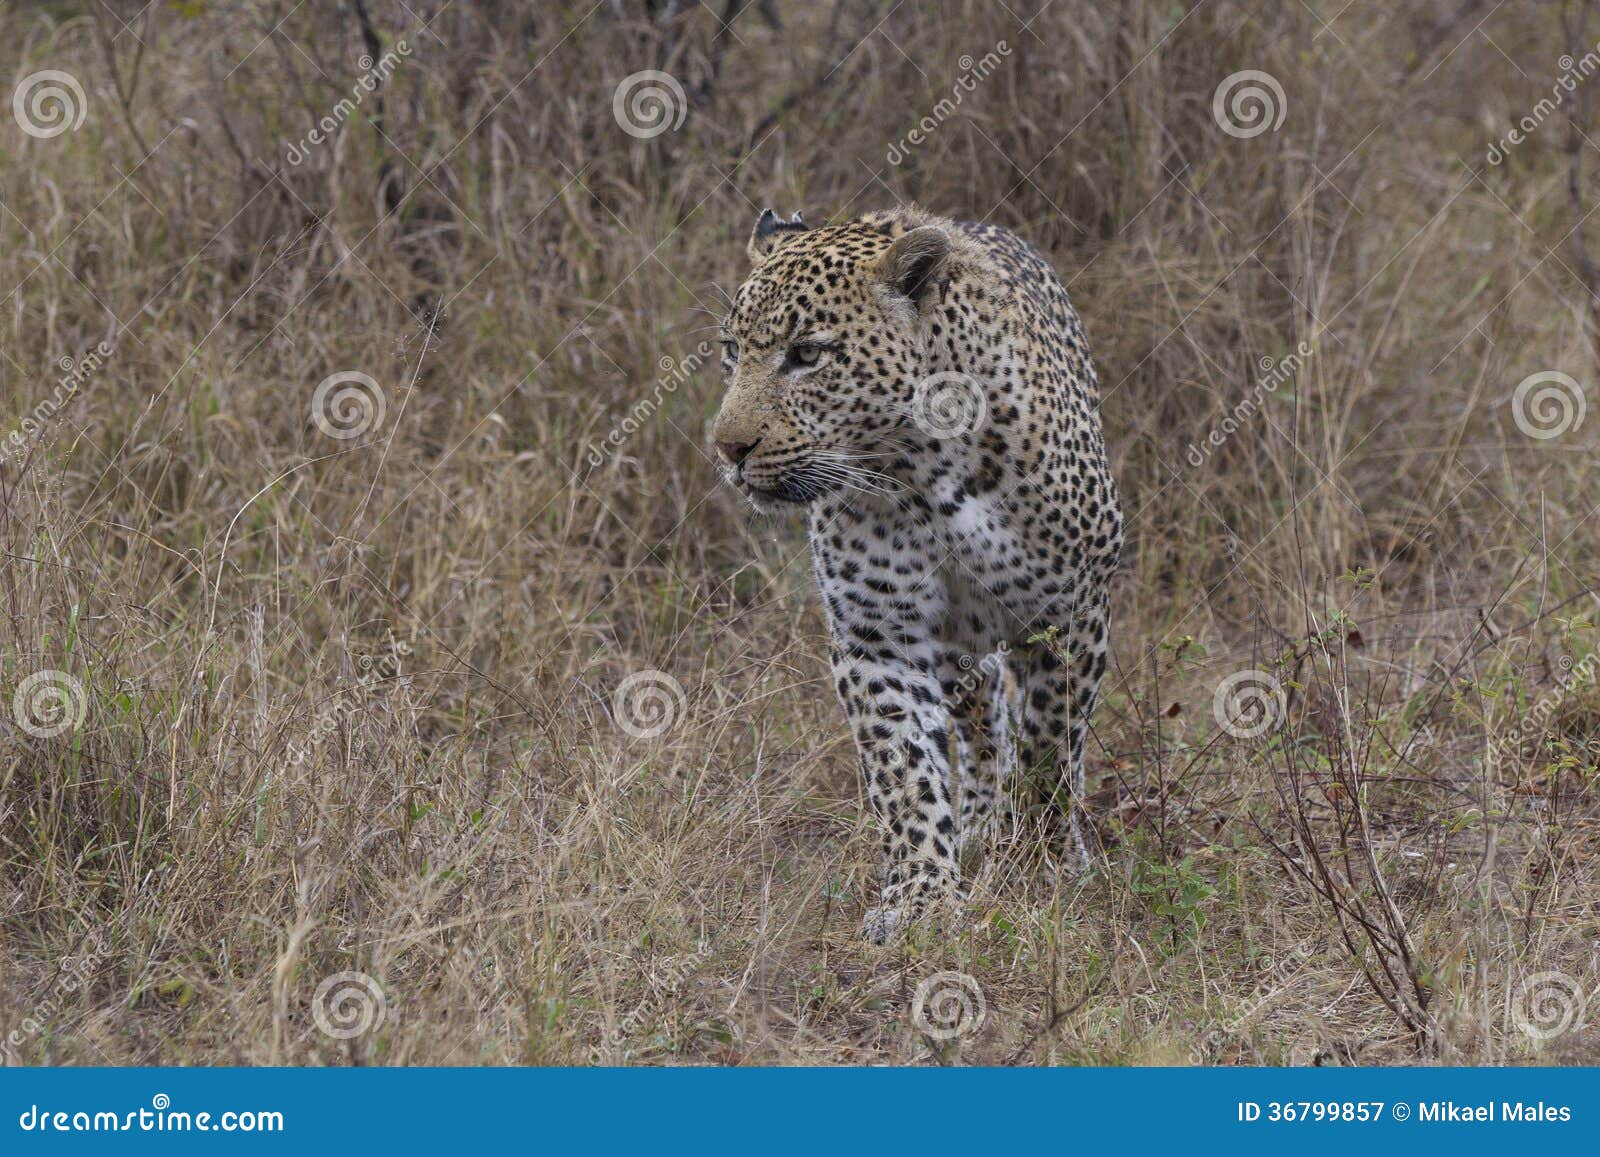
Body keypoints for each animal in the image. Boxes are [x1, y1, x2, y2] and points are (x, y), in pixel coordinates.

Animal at [711, 204, 1123, 942]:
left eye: (807, 354)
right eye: (732, 351)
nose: (729, 448)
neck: (924, 469)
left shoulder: (1067, 613)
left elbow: (1051, 746)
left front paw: (1045, 865)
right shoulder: (881, 637)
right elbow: (904, 772)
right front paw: (923, 896)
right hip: (959, 652)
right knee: (984, 723)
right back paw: (982, 825)